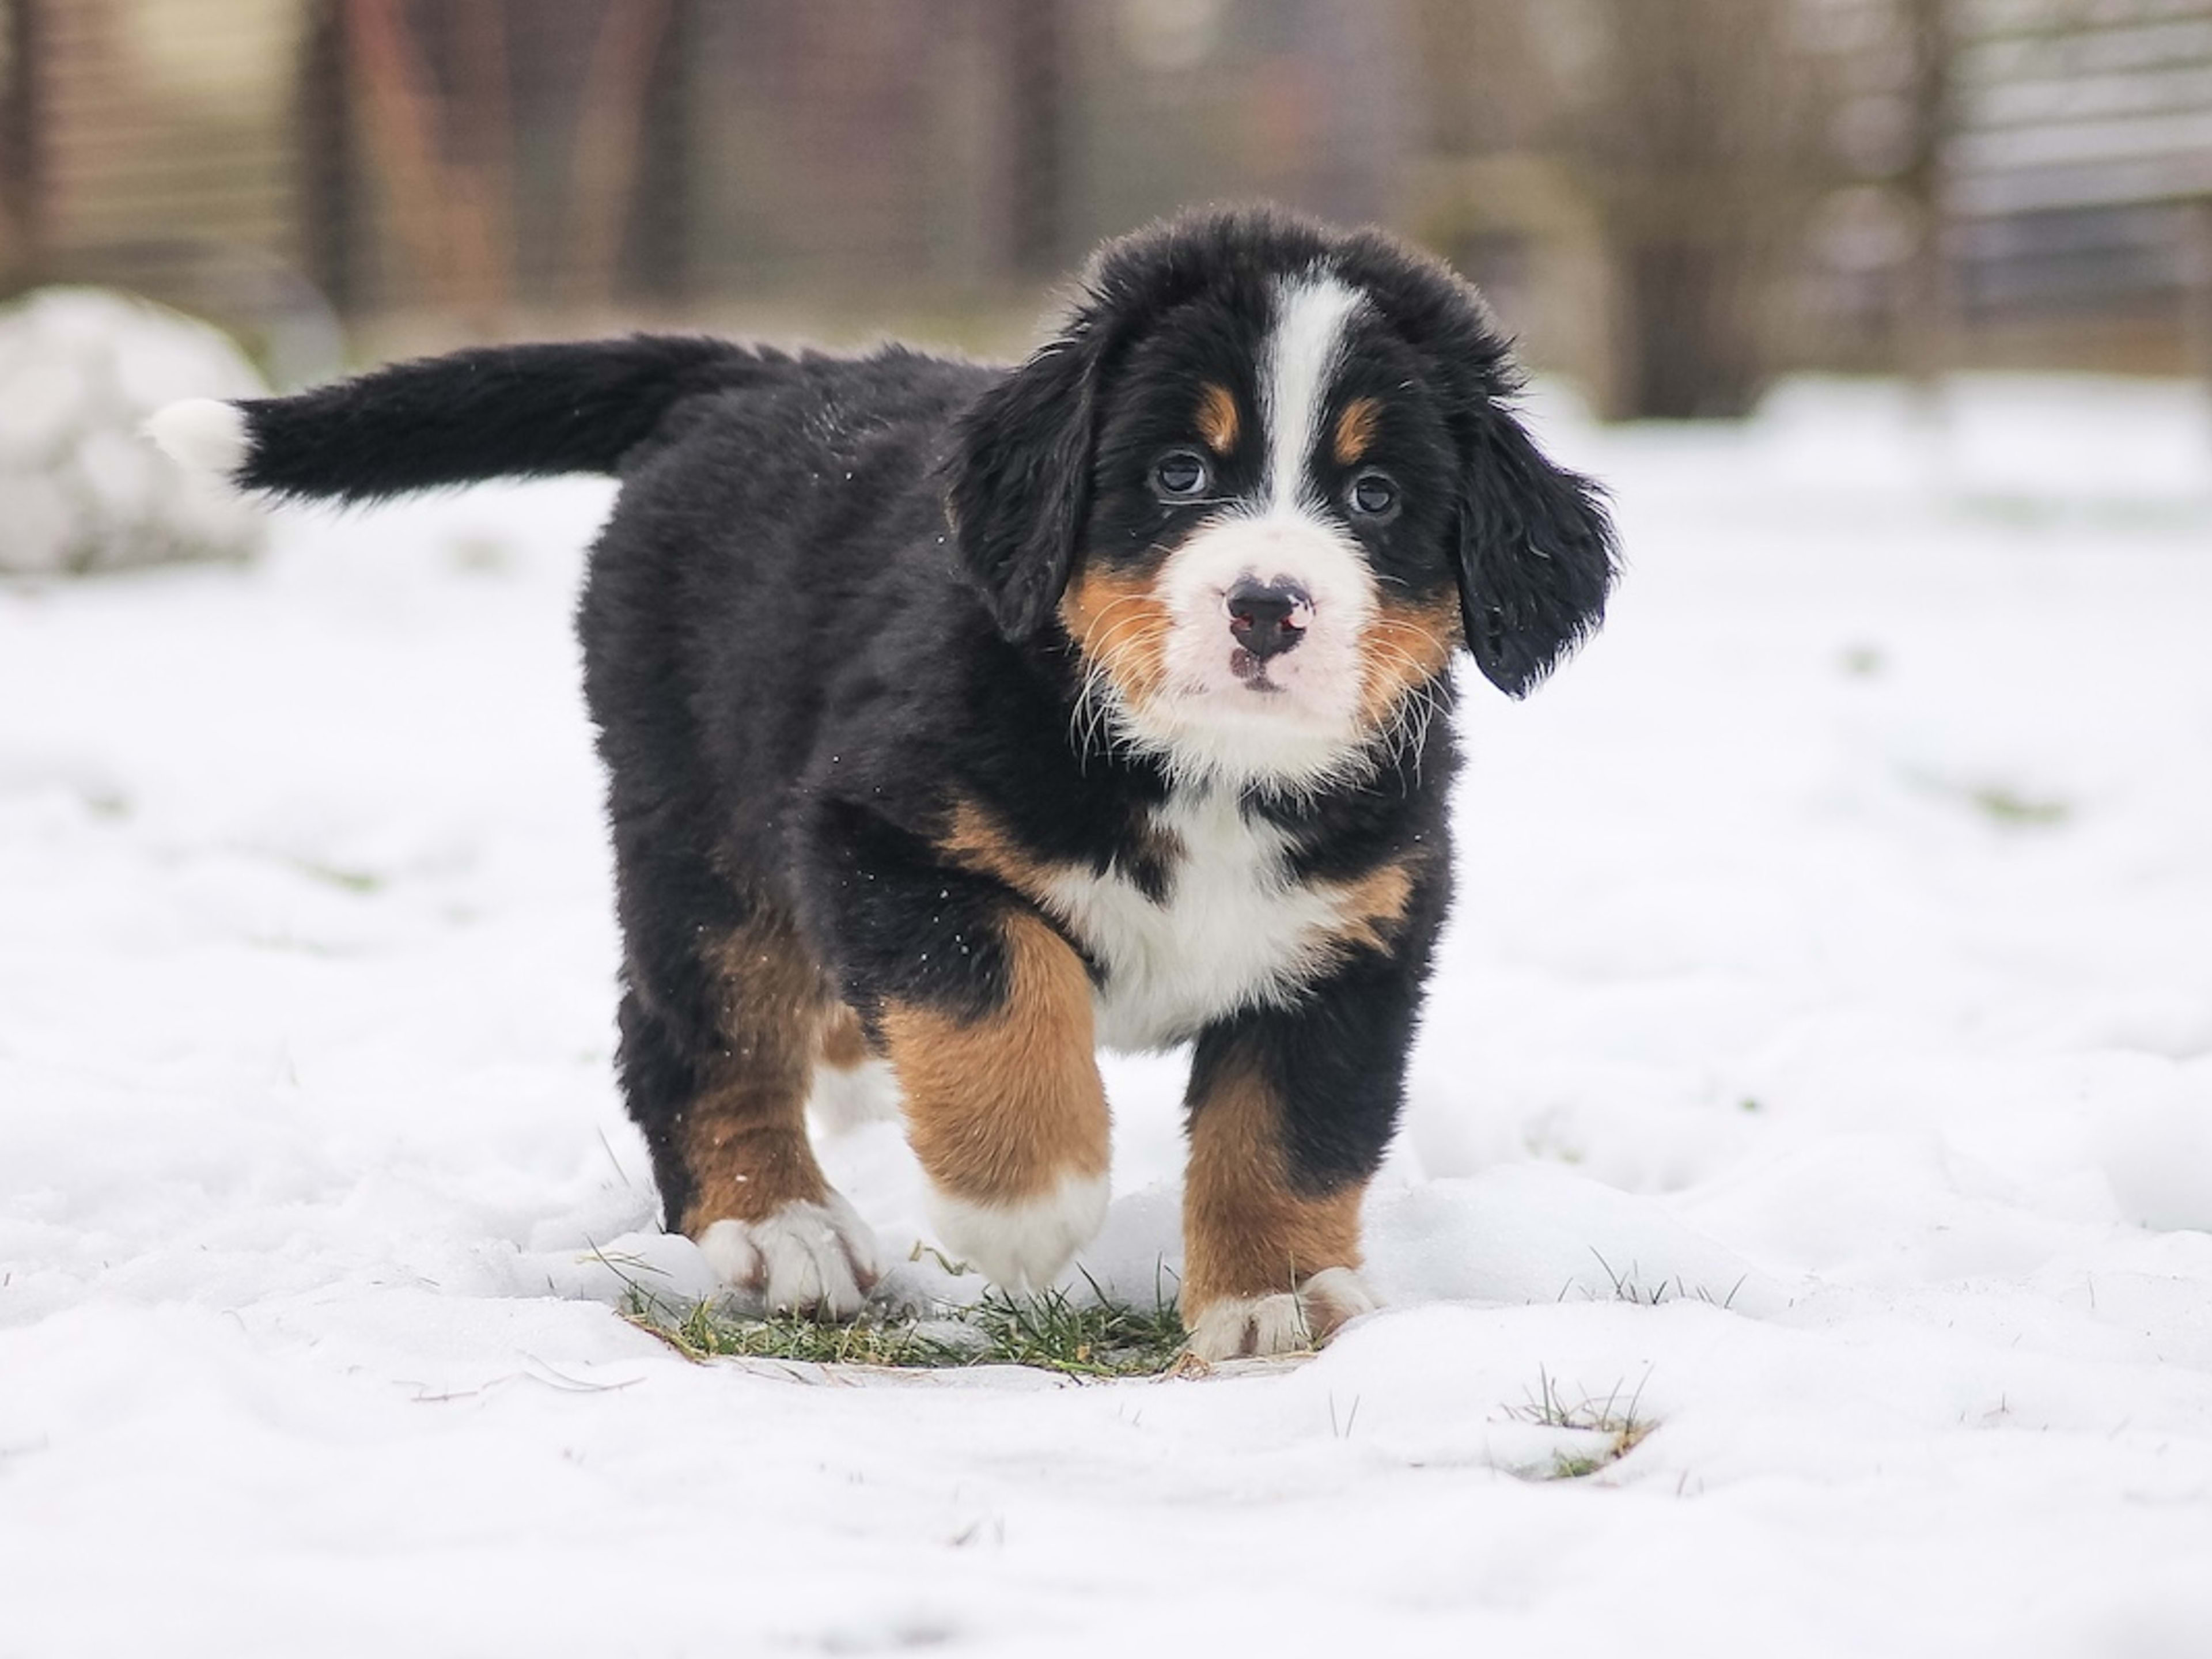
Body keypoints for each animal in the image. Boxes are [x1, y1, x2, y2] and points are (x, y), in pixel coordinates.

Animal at [150, 208, 1616, 1360]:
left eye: (1375, 498)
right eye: (1179, 473)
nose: (1267, 607)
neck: (1200, 773)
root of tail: (748, 374)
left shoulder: (1360, 933)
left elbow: (1293, 1127)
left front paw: (1274, 1299)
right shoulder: (877, 836)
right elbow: (1003, 990)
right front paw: (1021, 1210)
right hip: (704, 834)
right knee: (694, 1038)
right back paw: (784, 1226)